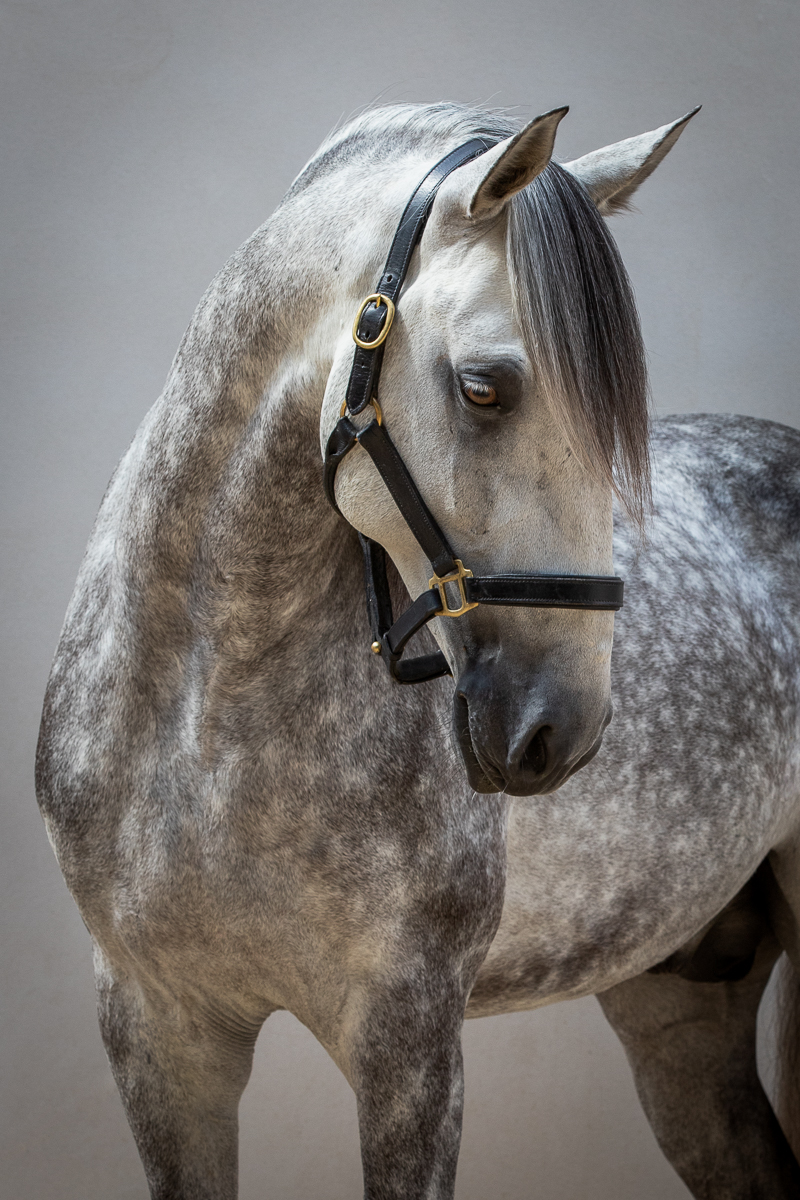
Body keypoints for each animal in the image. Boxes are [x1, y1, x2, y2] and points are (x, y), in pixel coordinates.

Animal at [35, 101, 800, 1199]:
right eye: (485, 390)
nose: (559, 730)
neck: (201, 725)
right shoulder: (156, 1029)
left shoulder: (409, 1038)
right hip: (679, 998)